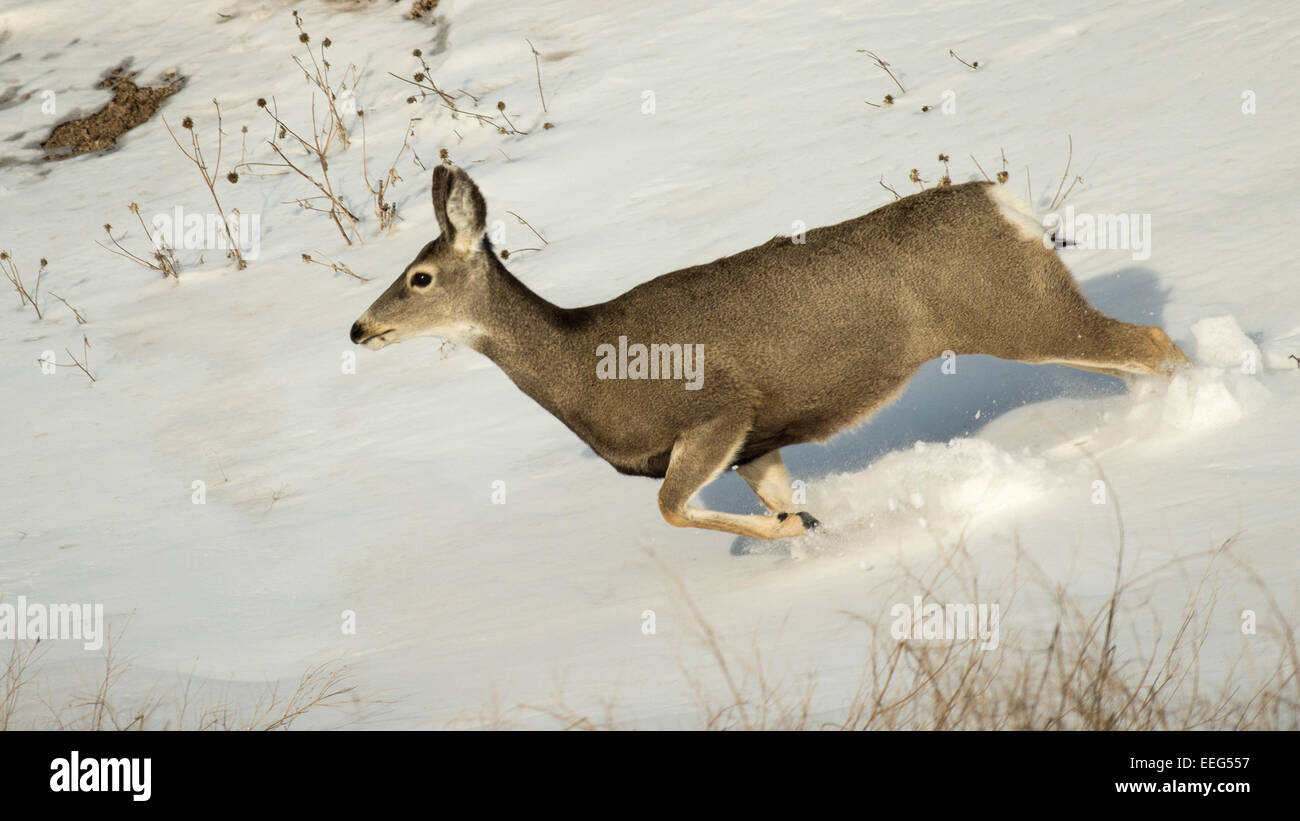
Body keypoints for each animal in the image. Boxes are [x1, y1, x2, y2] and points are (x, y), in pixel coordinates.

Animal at [351, 165, 1189, 541]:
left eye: (419, 277)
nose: (359, 329)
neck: (586, 363)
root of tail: (1003, 198)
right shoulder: (759, 440)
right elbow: (774, 495)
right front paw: (804, 526)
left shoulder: (722, 408)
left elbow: (668, 505)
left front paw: (792, 529)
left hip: (1012, 313)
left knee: (1147, 341)